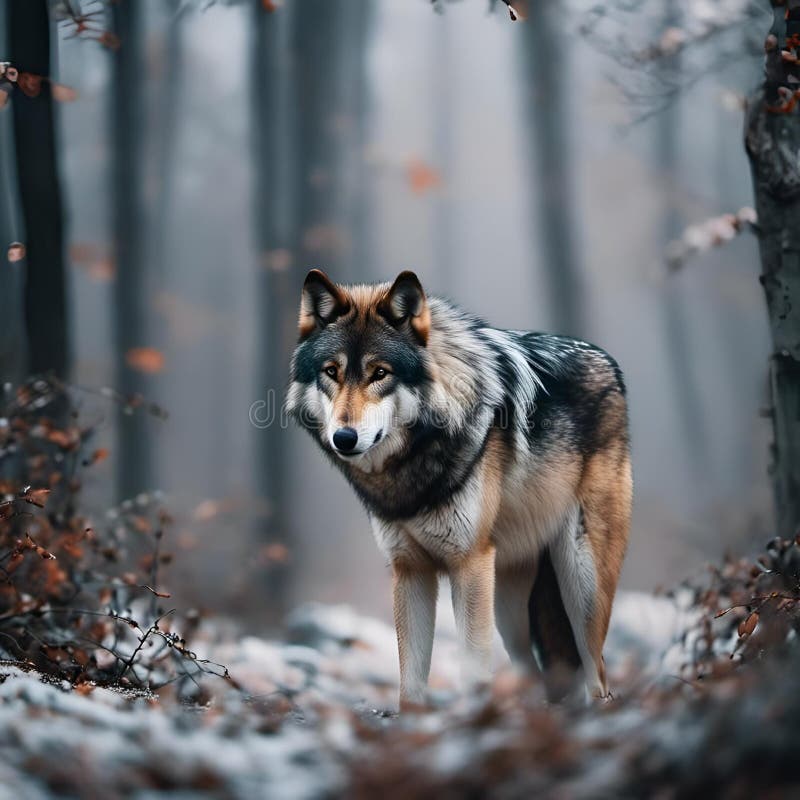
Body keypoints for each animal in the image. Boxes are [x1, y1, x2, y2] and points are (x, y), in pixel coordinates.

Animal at [286, 269, 632, 708]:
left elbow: (472, 672)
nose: (343, 438)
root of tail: (608, 361)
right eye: (331, 371)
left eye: (380, 373)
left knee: (598, 676)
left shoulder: (468, 564)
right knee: (536, 673)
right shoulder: (410, 570)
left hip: (579, 583)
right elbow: (411, 681)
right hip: (510, 610)